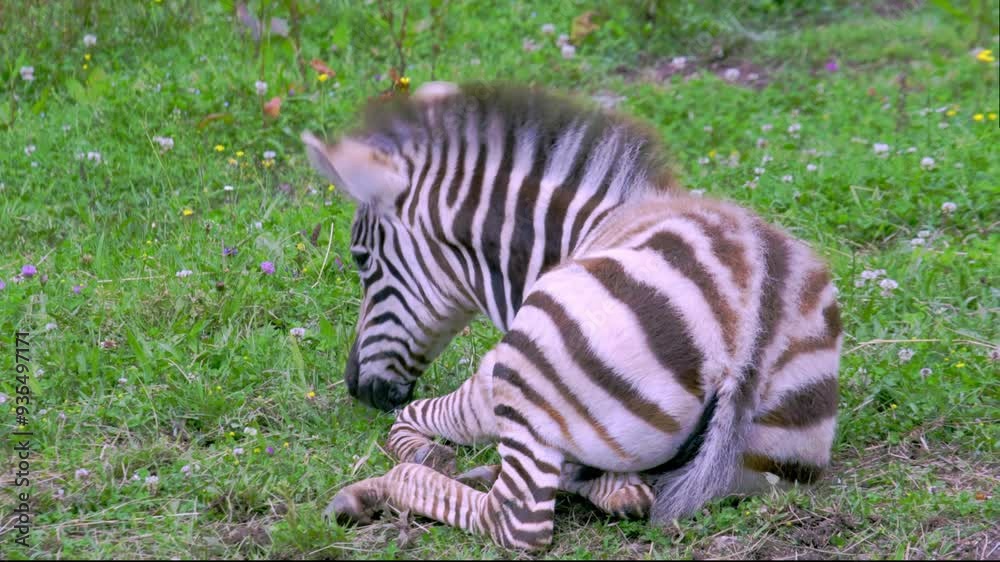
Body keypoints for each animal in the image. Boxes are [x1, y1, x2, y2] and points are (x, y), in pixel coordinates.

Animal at [302, 82, 841, 549]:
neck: (574, 234)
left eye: (361, 260)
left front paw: (424, 454)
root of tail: (749, 339)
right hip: (765, 467)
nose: (356, 387)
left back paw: (377, 489)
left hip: (526, 367)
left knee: (514, 519)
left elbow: (409, 422)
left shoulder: (492, 379)